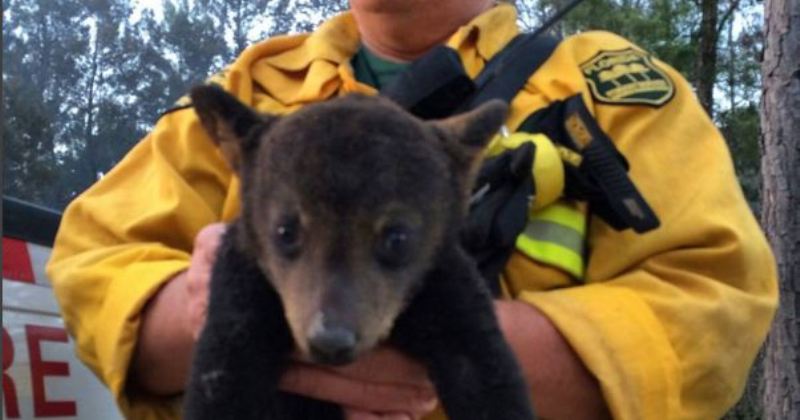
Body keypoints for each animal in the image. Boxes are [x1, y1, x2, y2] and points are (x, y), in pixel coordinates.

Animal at [183, 84, 536, 420]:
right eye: (284, 231)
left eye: (398, 238)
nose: (331, 341)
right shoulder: (240, 294)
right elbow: (223, 383)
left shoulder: (446, 290)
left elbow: (488, 375)